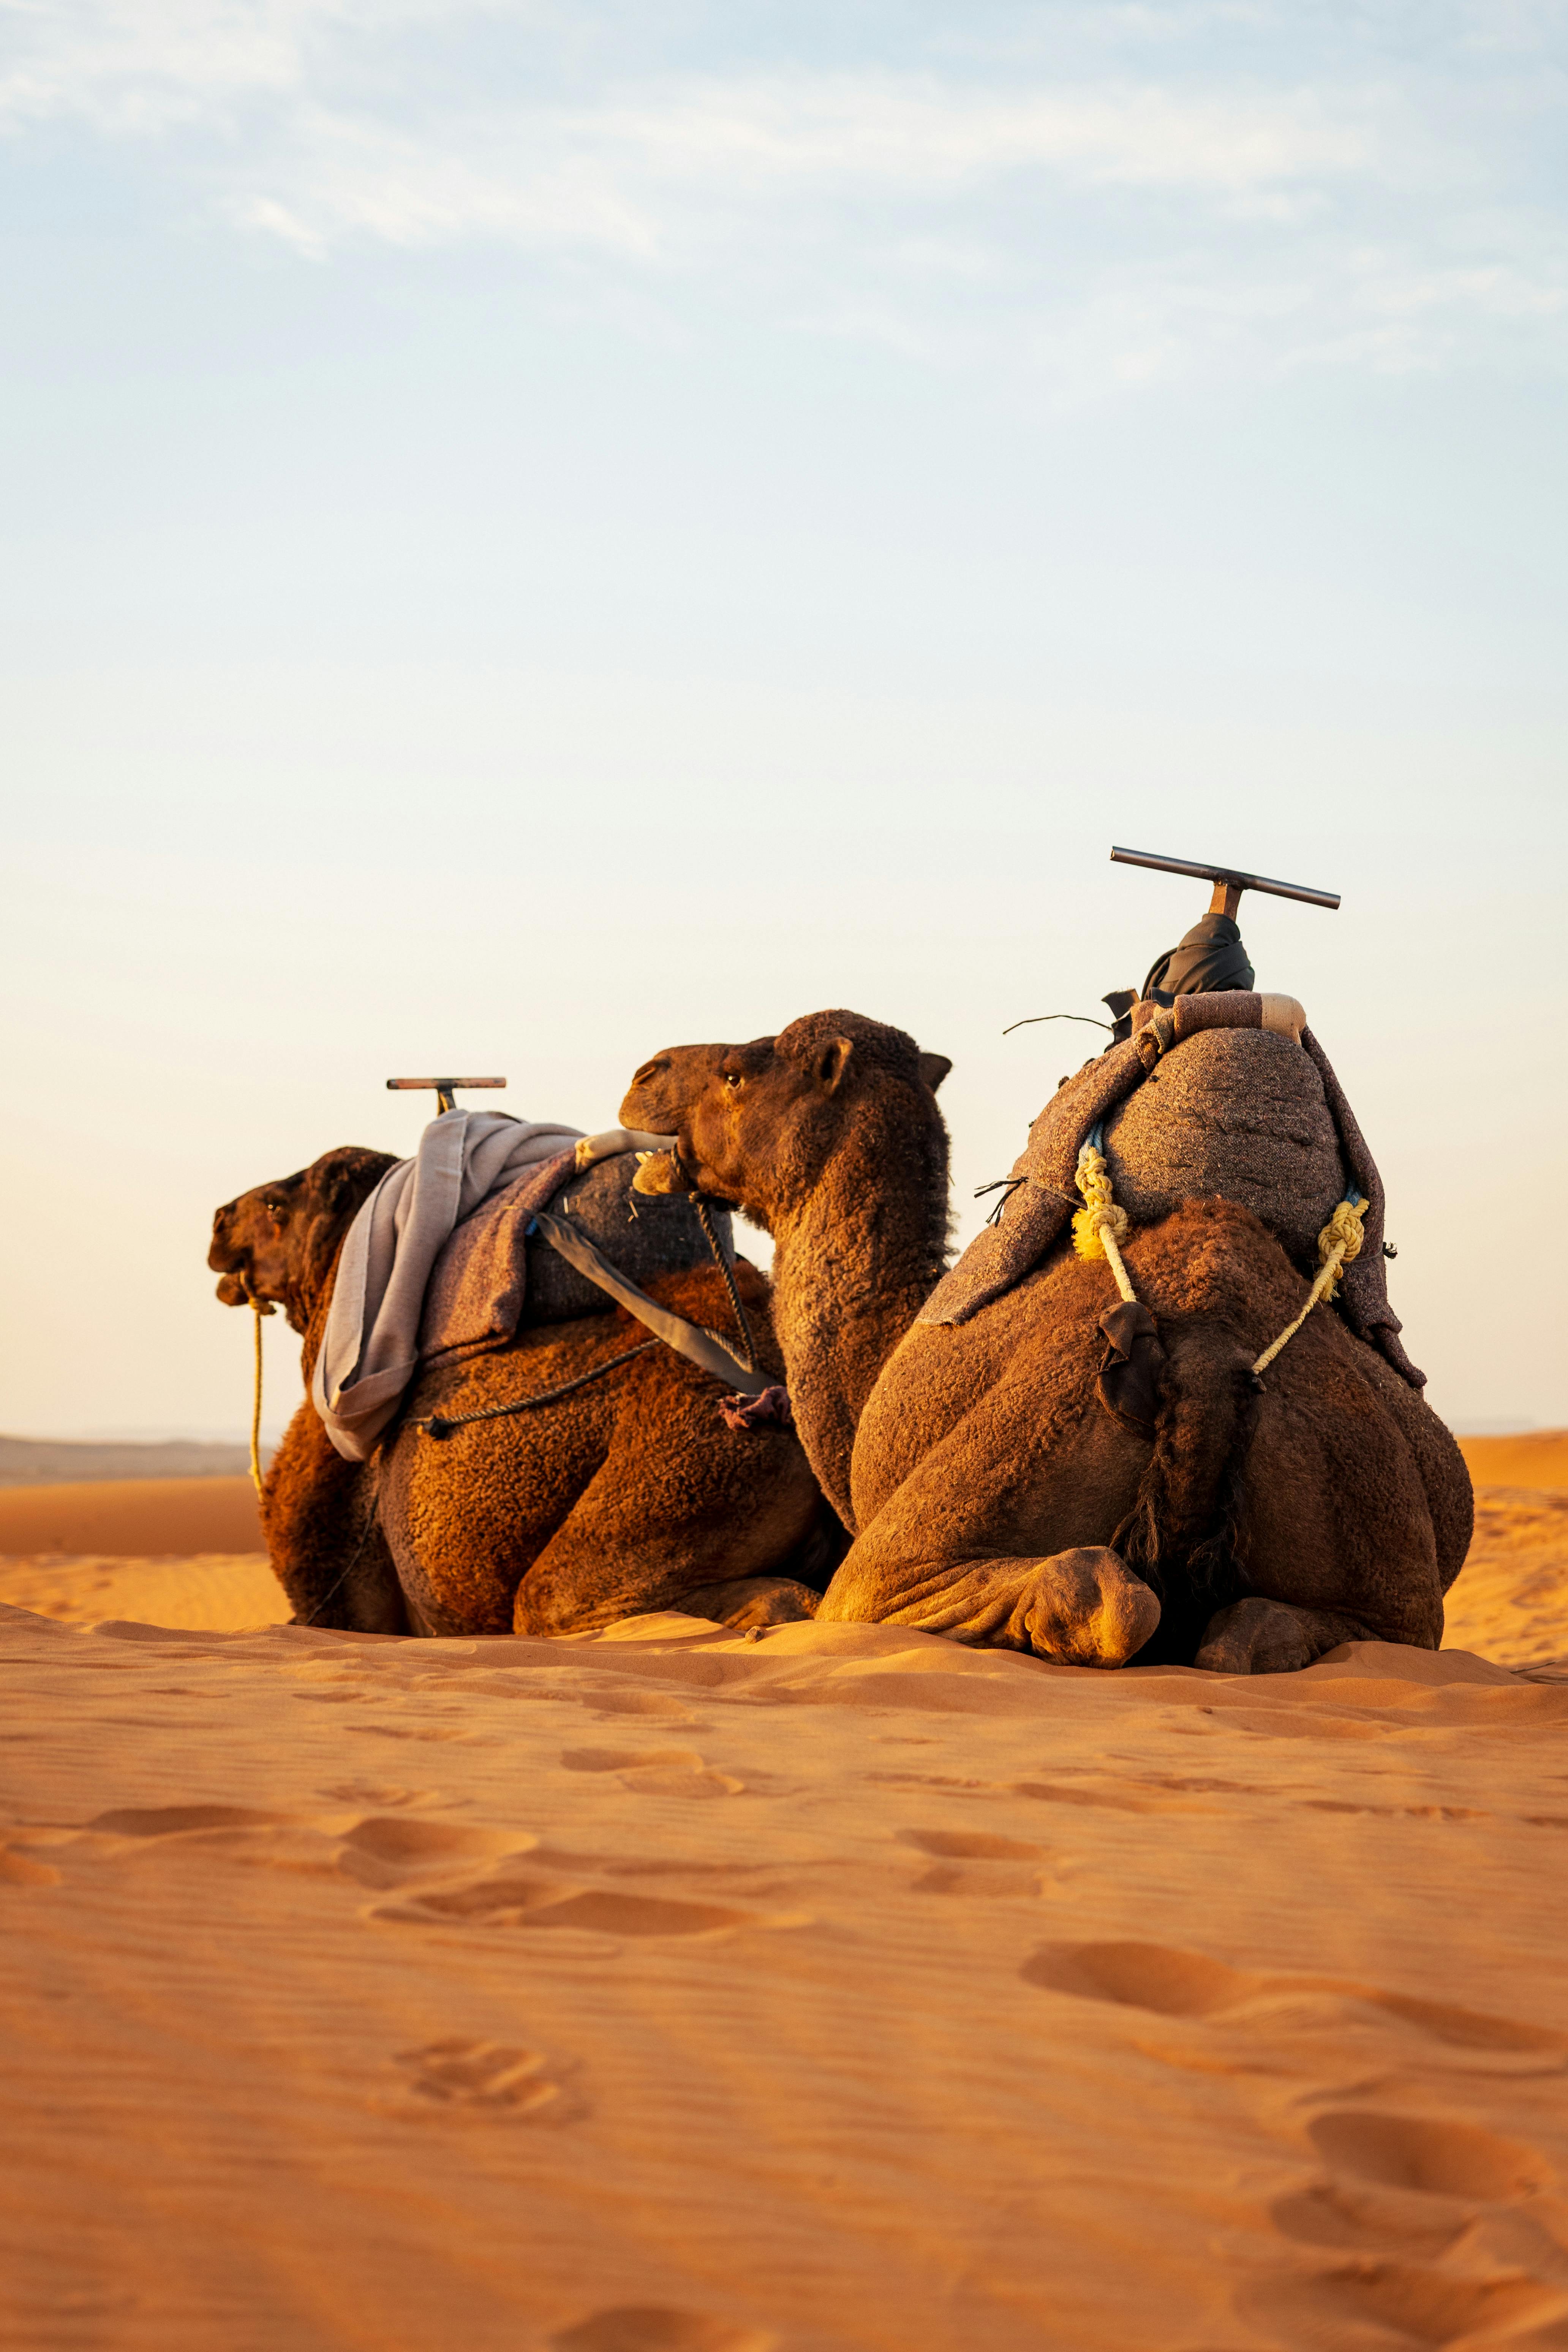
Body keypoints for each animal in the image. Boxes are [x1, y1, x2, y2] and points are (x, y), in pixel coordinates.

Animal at [620, 1012, 1474, 1674]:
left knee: (1095, 1595)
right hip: (1381, 1555)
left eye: (735, 1075)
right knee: (1260, 1634)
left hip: (1014, 1452)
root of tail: (1207, 1357)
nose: (644, 1072)